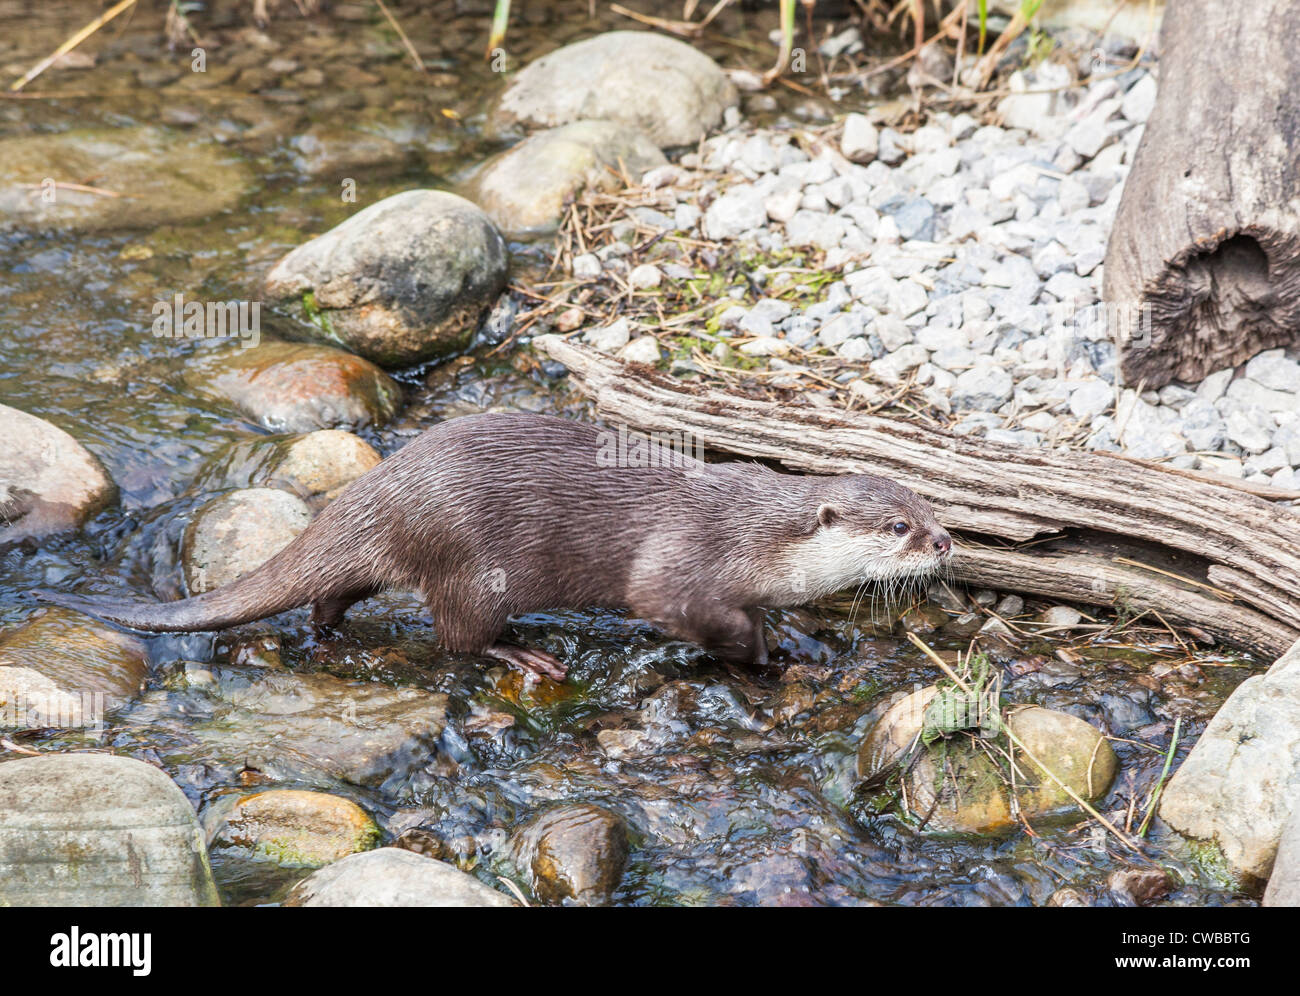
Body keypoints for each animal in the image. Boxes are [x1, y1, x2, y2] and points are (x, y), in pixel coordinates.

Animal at [38, 413, 953, 680]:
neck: (757, 533)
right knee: (455, 637)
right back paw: (524, 656)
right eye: (898, 527)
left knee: (338, 588)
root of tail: (390, 488)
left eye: (929, 504)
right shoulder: (683, 562)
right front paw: (763, 655)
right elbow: (681, 610)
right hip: (474, 565)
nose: (946, 544)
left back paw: (327, 631)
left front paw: (797, 639)